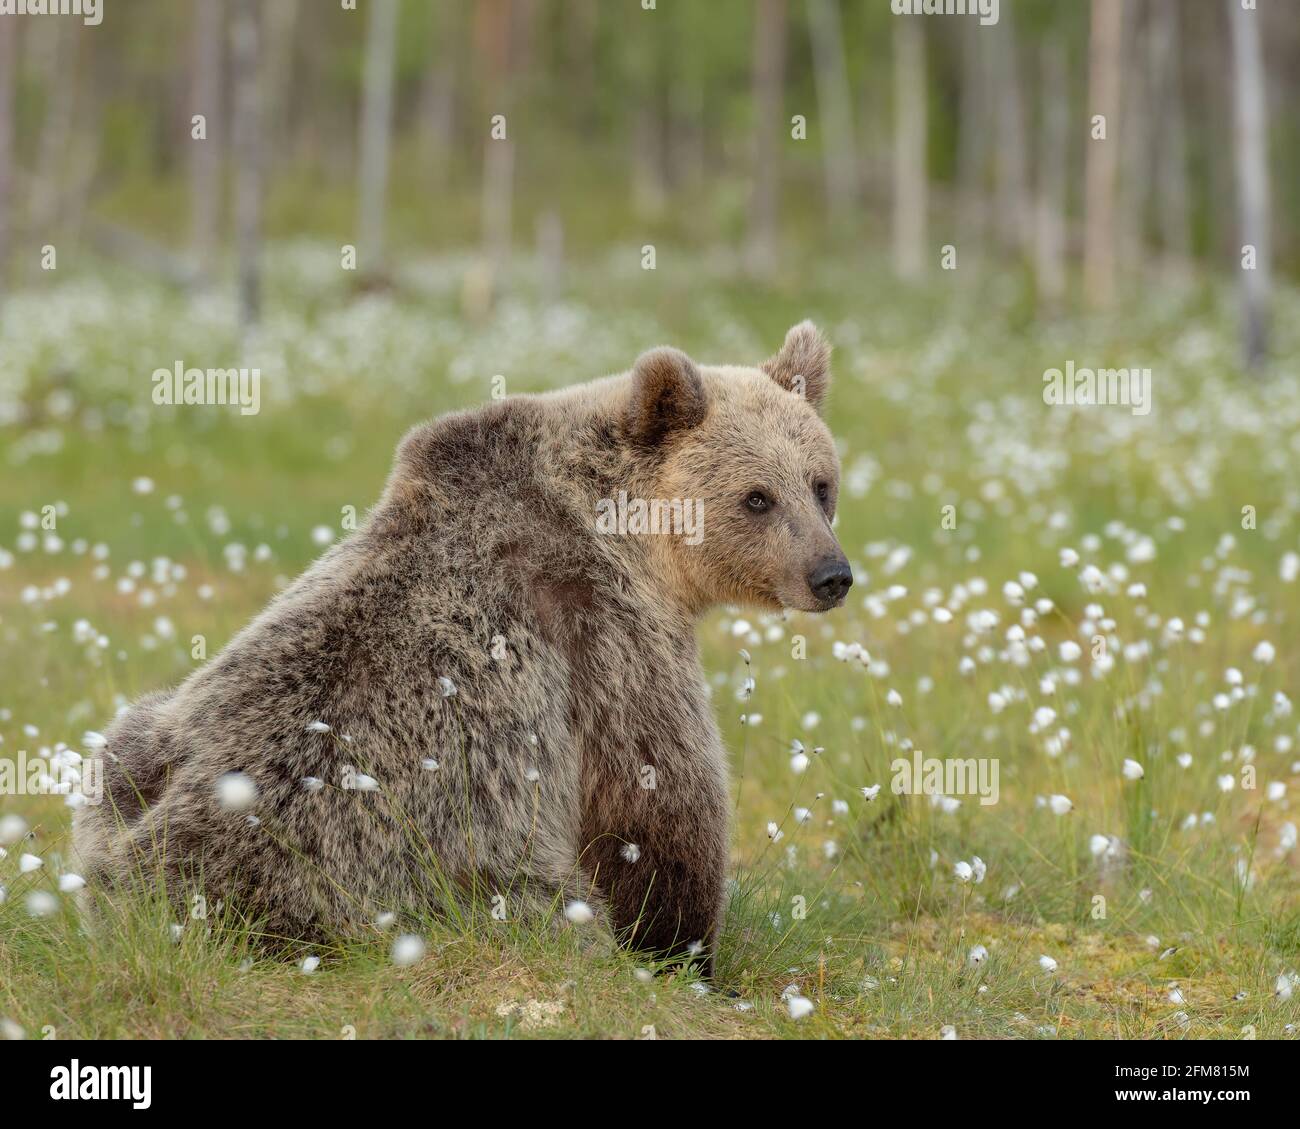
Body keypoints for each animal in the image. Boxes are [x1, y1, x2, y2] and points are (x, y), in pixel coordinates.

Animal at [72, 320, 852, 975]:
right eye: (757, 497)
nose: (832, 574)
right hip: (428, 875)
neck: (630, 536)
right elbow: (660, 801)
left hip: (147, 748)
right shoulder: (606, 634)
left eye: (821, 485)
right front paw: (685, 952)